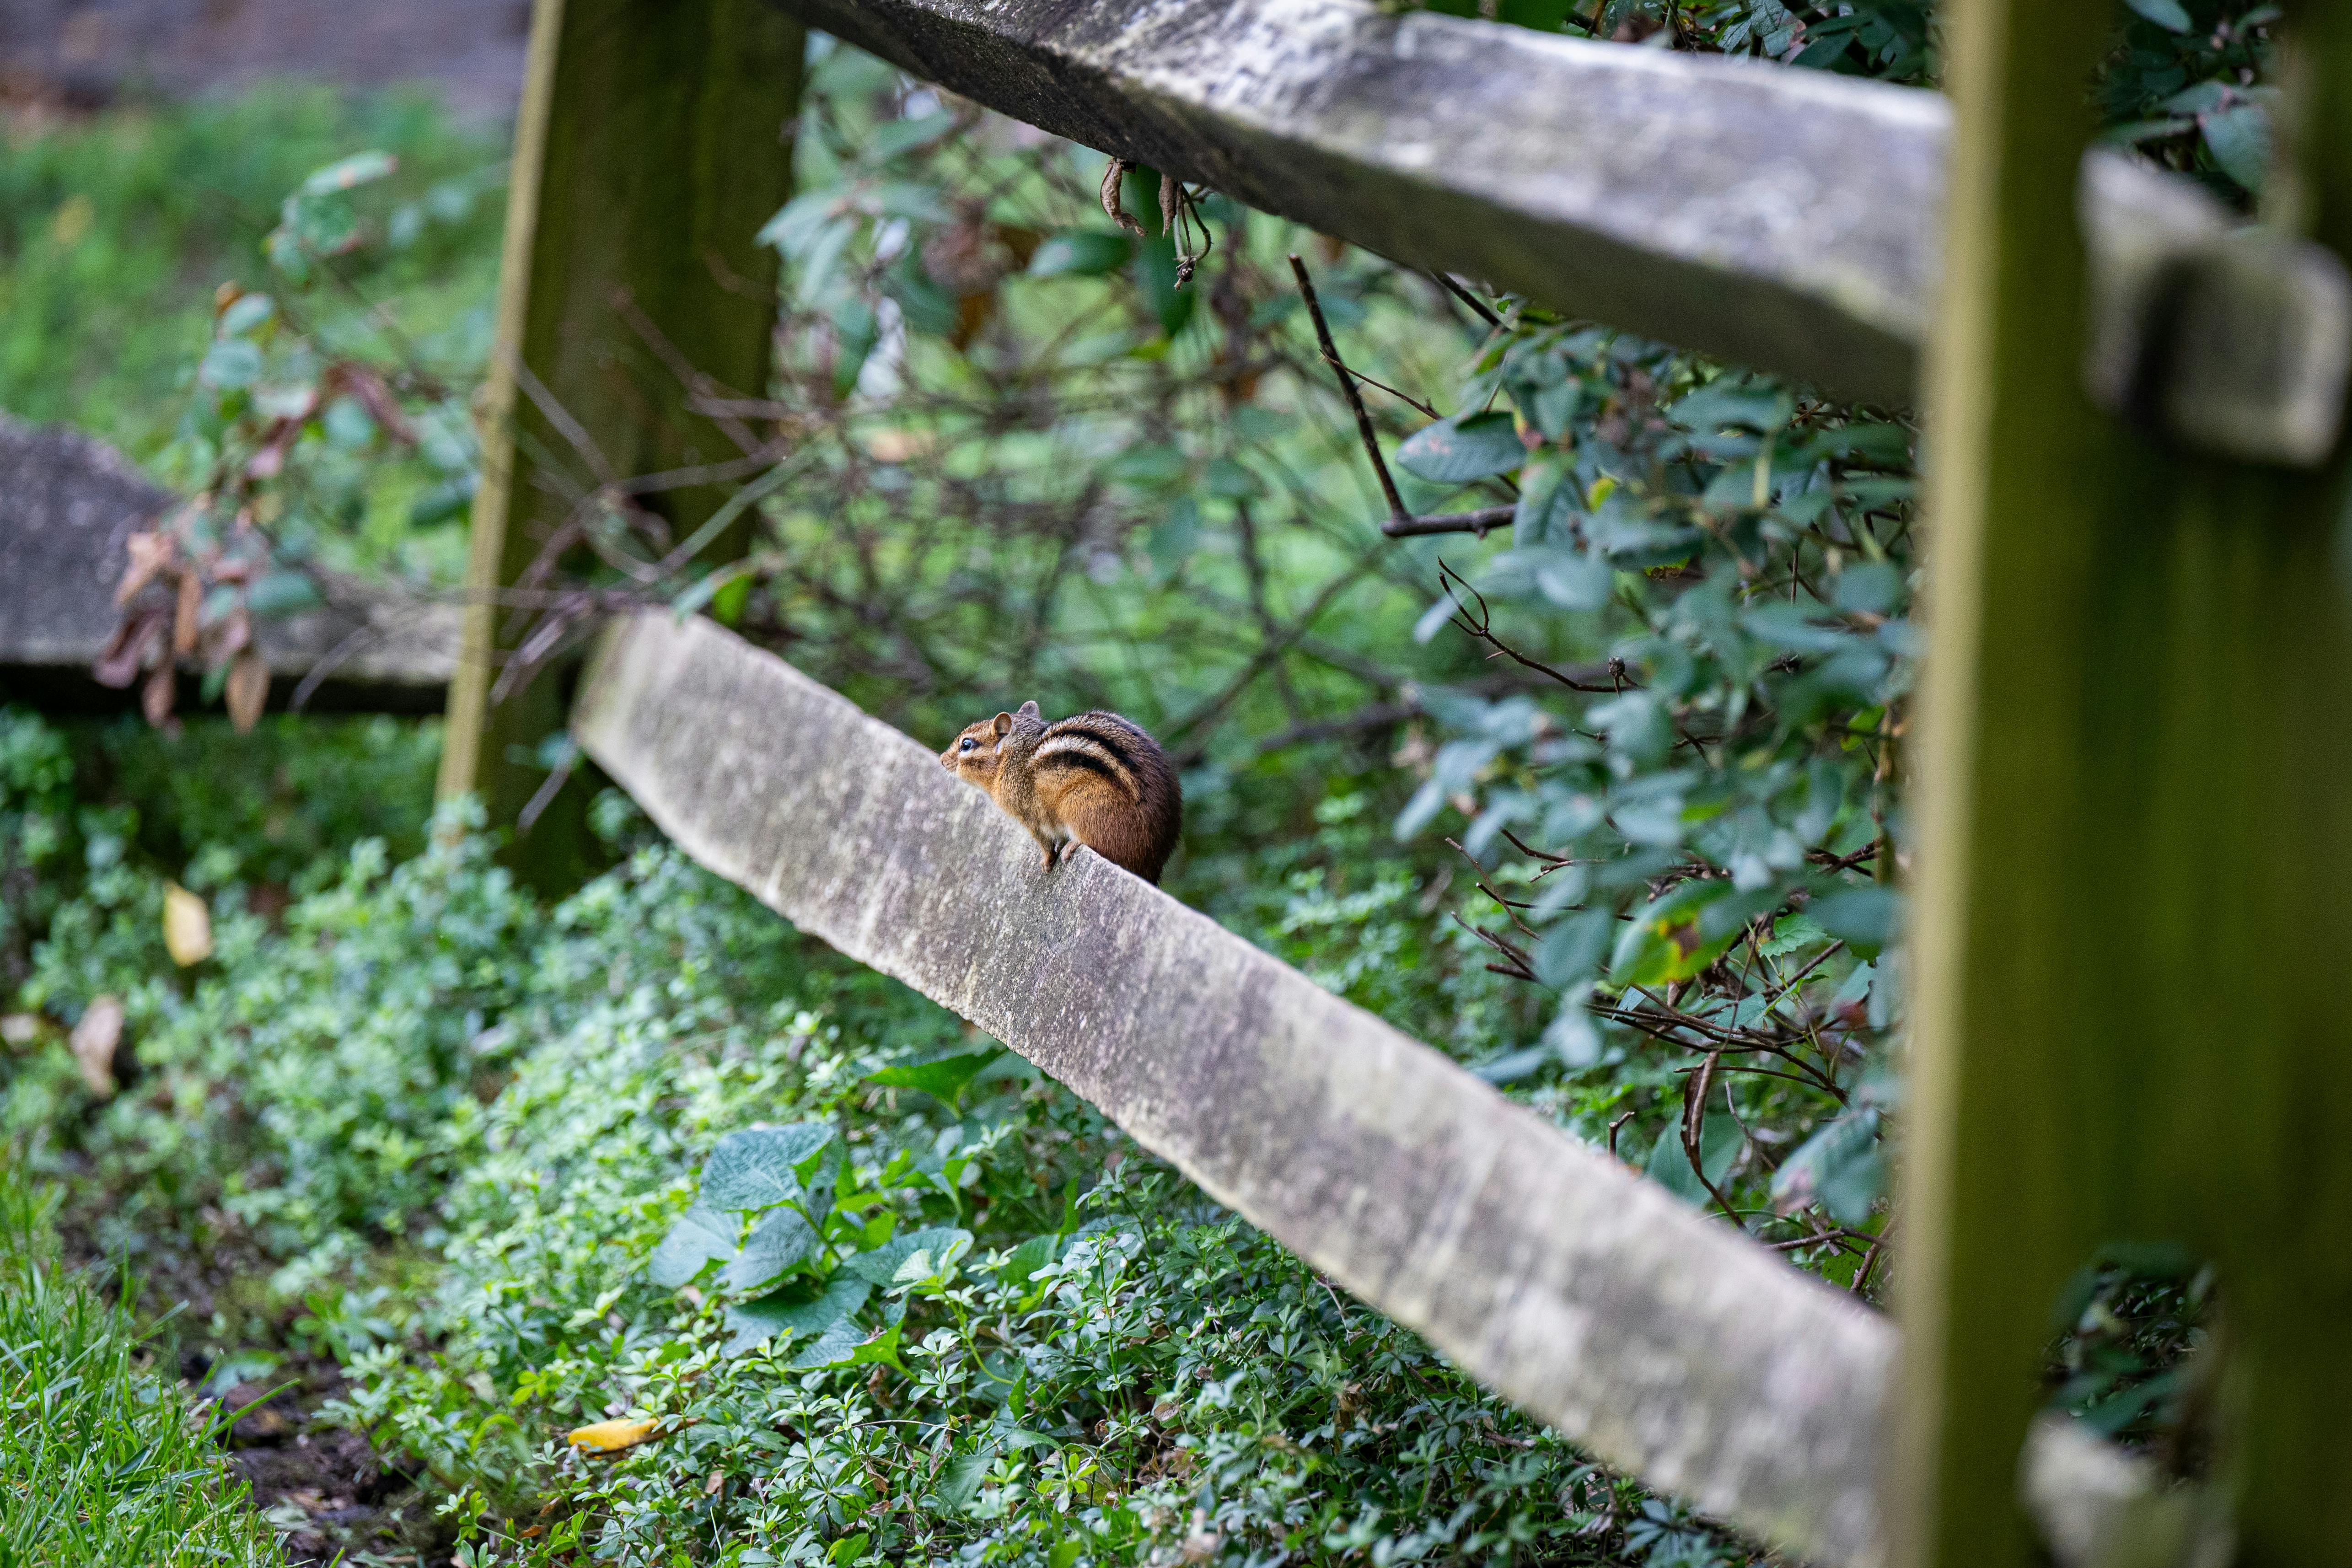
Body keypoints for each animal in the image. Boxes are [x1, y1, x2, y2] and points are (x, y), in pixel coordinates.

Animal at [939, 701, 1182, 885]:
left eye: (966, 744)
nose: (942, 760)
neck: (1015, 757)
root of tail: (1152, 862)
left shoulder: (1030, 816)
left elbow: (1044, 843)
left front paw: (1047, 862)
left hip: (1081, 804)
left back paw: (1074, 845)